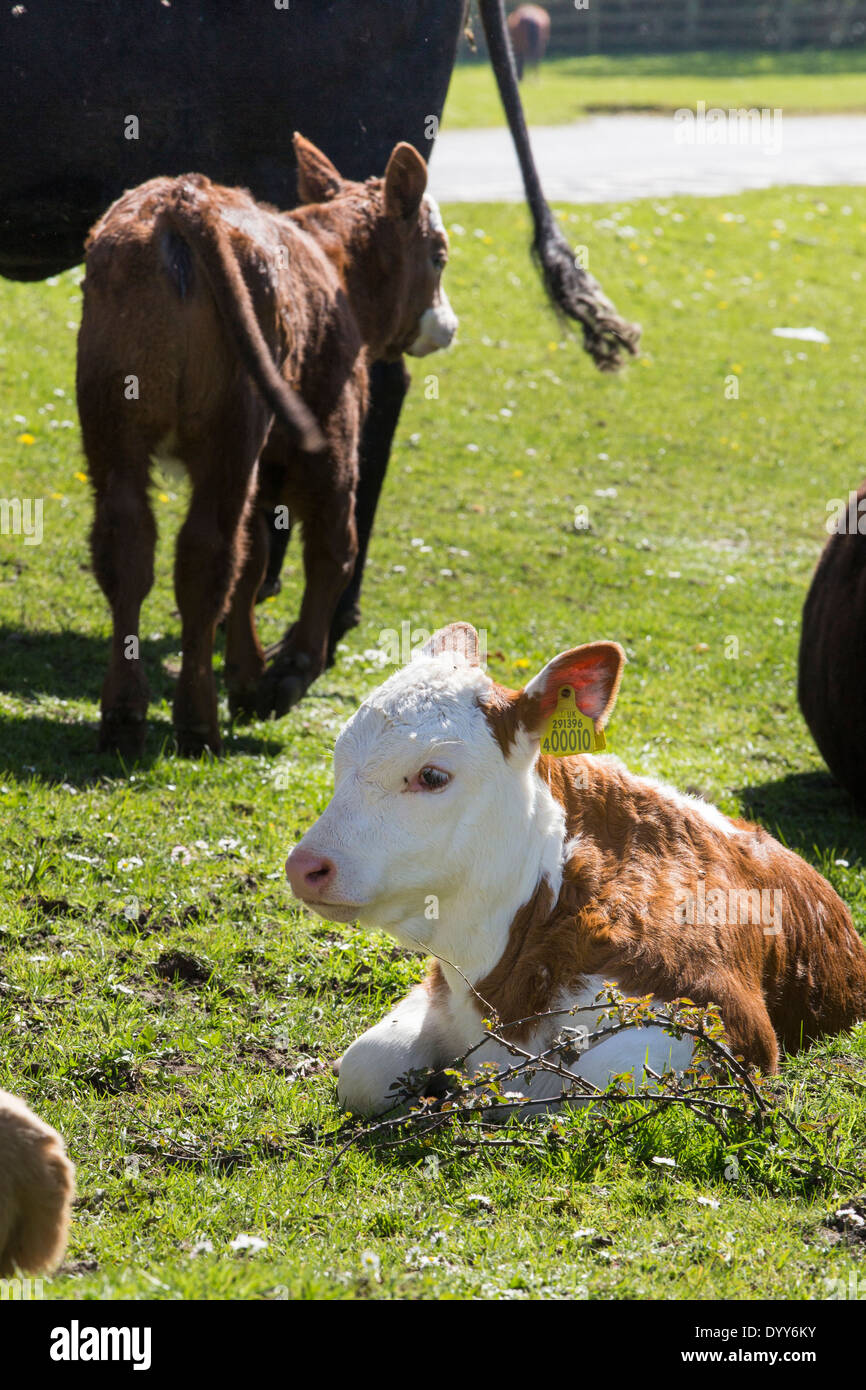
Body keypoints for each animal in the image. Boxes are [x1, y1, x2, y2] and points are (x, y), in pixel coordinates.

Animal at [77, 137, 456, 757]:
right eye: (438, 255)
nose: (447, 325)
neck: (333, 264)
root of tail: (183, 197)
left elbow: (255, 559)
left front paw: (248, 672)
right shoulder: (331, 440)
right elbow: (331, 549)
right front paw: (288, 672)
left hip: (114, 425)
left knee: (129, 546)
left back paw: (125, 716)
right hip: (234, 430)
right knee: (207, 555)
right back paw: (197, 723)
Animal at [285, 623, 866, 1117]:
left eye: (431, 775)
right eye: (339, 759)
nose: (303, 865)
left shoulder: (727, 1023)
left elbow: (586, 1089)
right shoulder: (440, 988)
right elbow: (364, 1066)